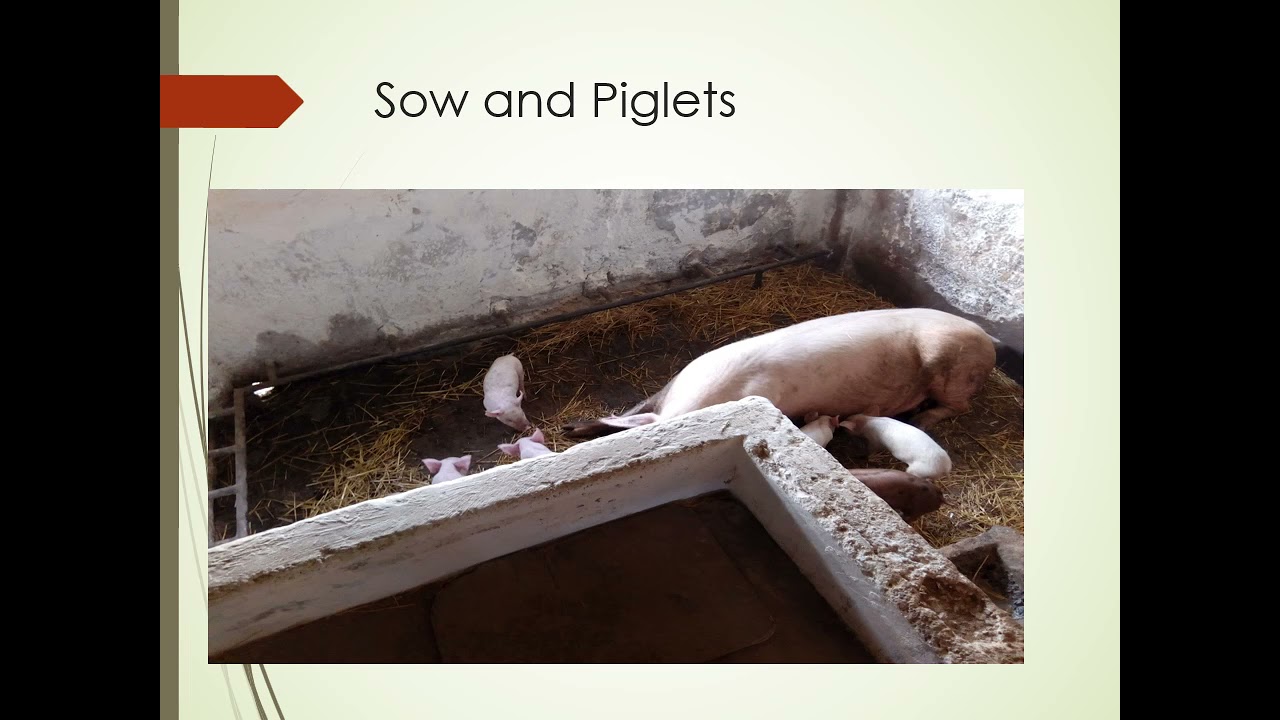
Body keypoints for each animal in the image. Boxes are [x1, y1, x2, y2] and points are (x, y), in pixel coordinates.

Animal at [562, 308, 997, 438]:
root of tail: (987, 338)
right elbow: (633, 408)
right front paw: (575, 429)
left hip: (951, 362)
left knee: (957, 405)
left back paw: (921, 418)